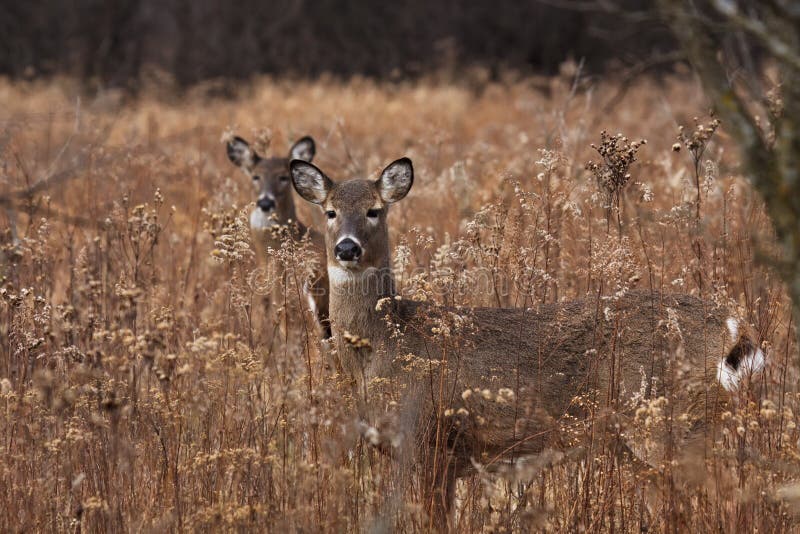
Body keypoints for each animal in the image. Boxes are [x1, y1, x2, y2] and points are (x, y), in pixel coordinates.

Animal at [289, 156, 766, 530]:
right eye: (329, 211)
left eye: (374, 211)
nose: (347, 248)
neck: (383, 343)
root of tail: (733, 325)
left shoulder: (429, 441)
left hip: (674, 419)